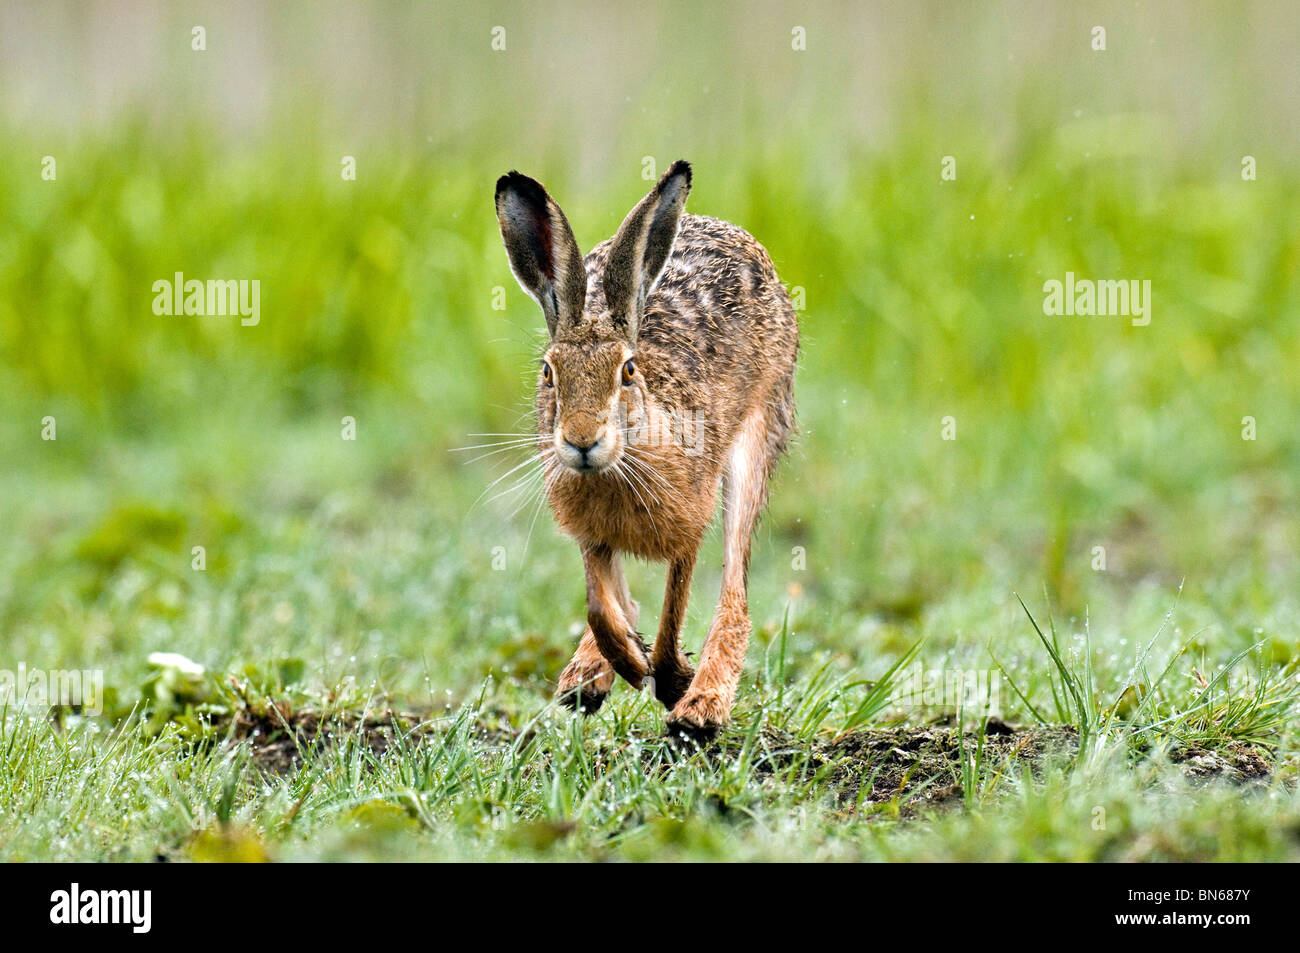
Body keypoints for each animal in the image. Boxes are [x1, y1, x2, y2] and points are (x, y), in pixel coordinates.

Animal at [494, 160, 797, 737]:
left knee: (735, 592)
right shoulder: (589, 535)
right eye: (548, 373)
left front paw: (672, 679)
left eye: (628, 371)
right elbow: (600, 607)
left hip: (759, 433)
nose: (582, 440)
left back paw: (701, 707)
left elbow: (674, 604)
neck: (620, 462)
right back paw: (586, 676)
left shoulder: (690, 523)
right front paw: (621, 666)